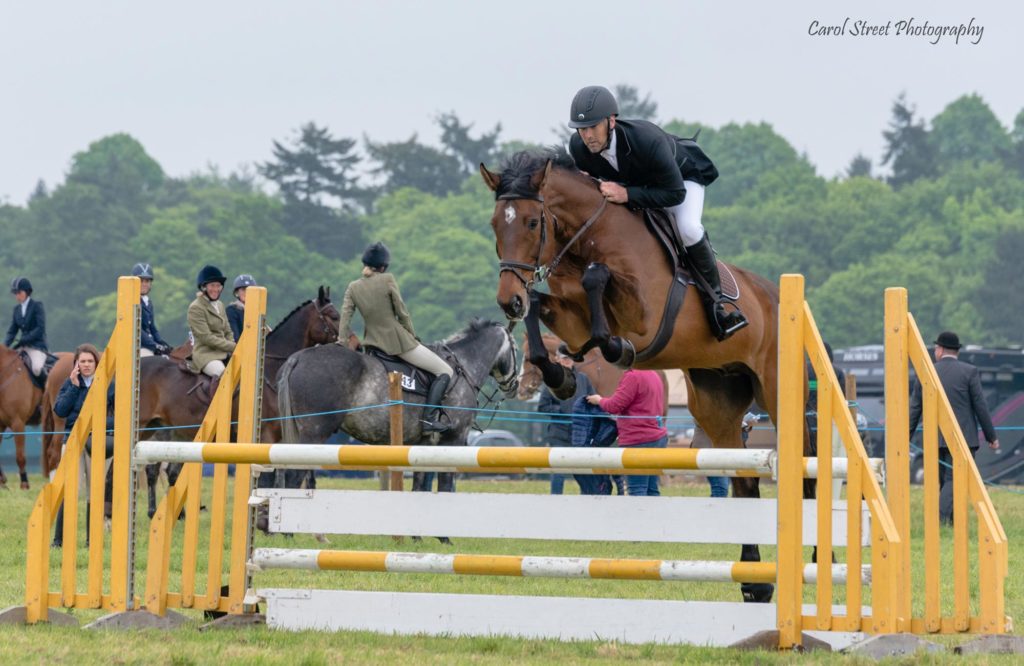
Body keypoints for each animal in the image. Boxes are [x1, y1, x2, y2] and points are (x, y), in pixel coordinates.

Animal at [137, 287, 341, 517]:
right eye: (334, 316)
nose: (354, 345)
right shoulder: (266, 435)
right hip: (146, 427)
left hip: (166, 429)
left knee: (165, 470)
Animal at [276, 319, 520, 499]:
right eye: (516, 349)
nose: (515, 385)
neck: (463, 367)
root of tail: (299, 357)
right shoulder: (454, 439)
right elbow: (444, 483)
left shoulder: (425, 445)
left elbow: (420, 486)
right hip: (314, 433)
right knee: (294, 475)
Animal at [481, 149, 811, 603]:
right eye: (496, 224)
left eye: (532, 222)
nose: (506, 301)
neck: (590, 239)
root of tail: (778, 298)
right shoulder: (571, 319)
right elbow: (542, 310)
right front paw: (560, 375)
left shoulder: (646, 317)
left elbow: (599, 286)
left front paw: (612, 349)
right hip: (716, 401)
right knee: (743, 481)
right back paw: (754, 584)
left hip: (778, 391)